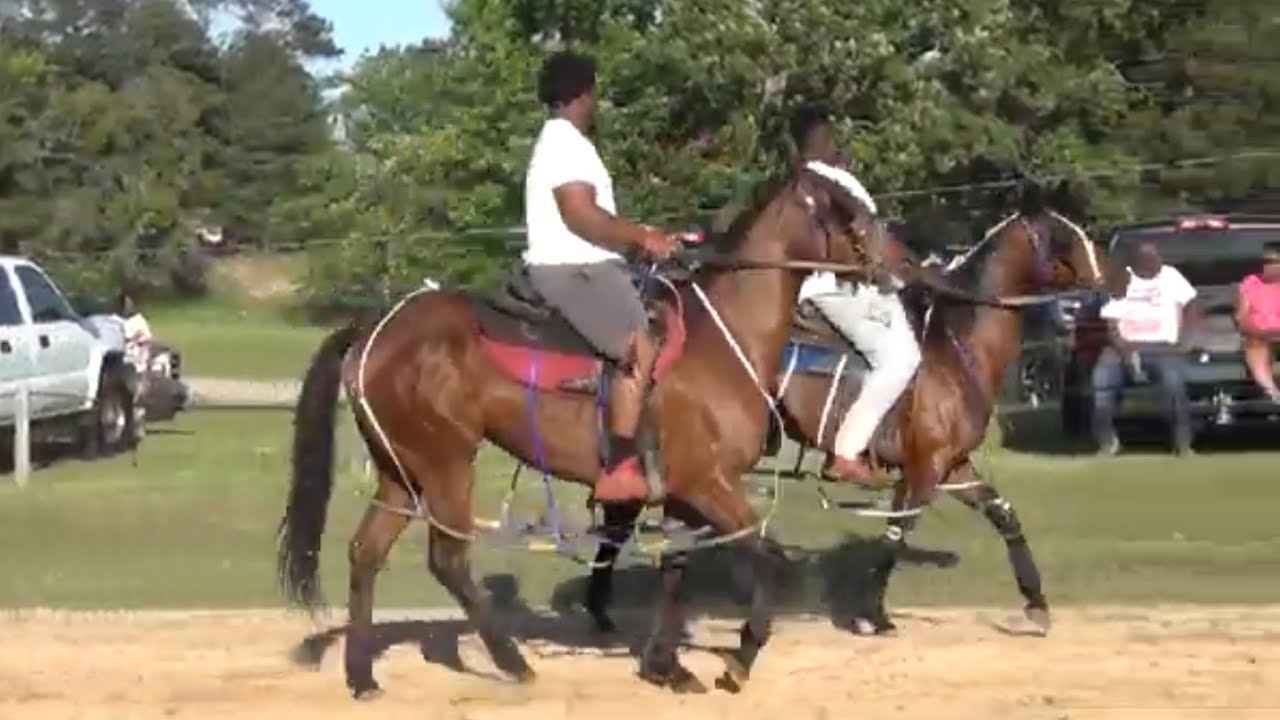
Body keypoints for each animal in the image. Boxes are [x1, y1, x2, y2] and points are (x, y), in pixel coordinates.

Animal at [276, 165, 873, 699]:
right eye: (849, 210)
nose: (890, 260)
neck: (722, 340)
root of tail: (375, 329)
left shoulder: (686, 494)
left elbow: (677, 570)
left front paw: (666, 667)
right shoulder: (710, 483)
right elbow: (768, 558)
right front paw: (740, 660)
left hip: (402, 471)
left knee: (366, 552)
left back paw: (362, 676)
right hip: (445, 465)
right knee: (447, 561)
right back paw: (512, 663)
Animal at [578, 191, 1108, 637]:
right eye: (1064, 236)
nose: (1106, 279)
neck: (955, 345)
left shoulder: (952, 464)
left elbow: (1004, 515)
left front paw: (1036, 603)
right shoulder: (925, 467)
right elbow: (897, 533)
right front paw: (873, 615)